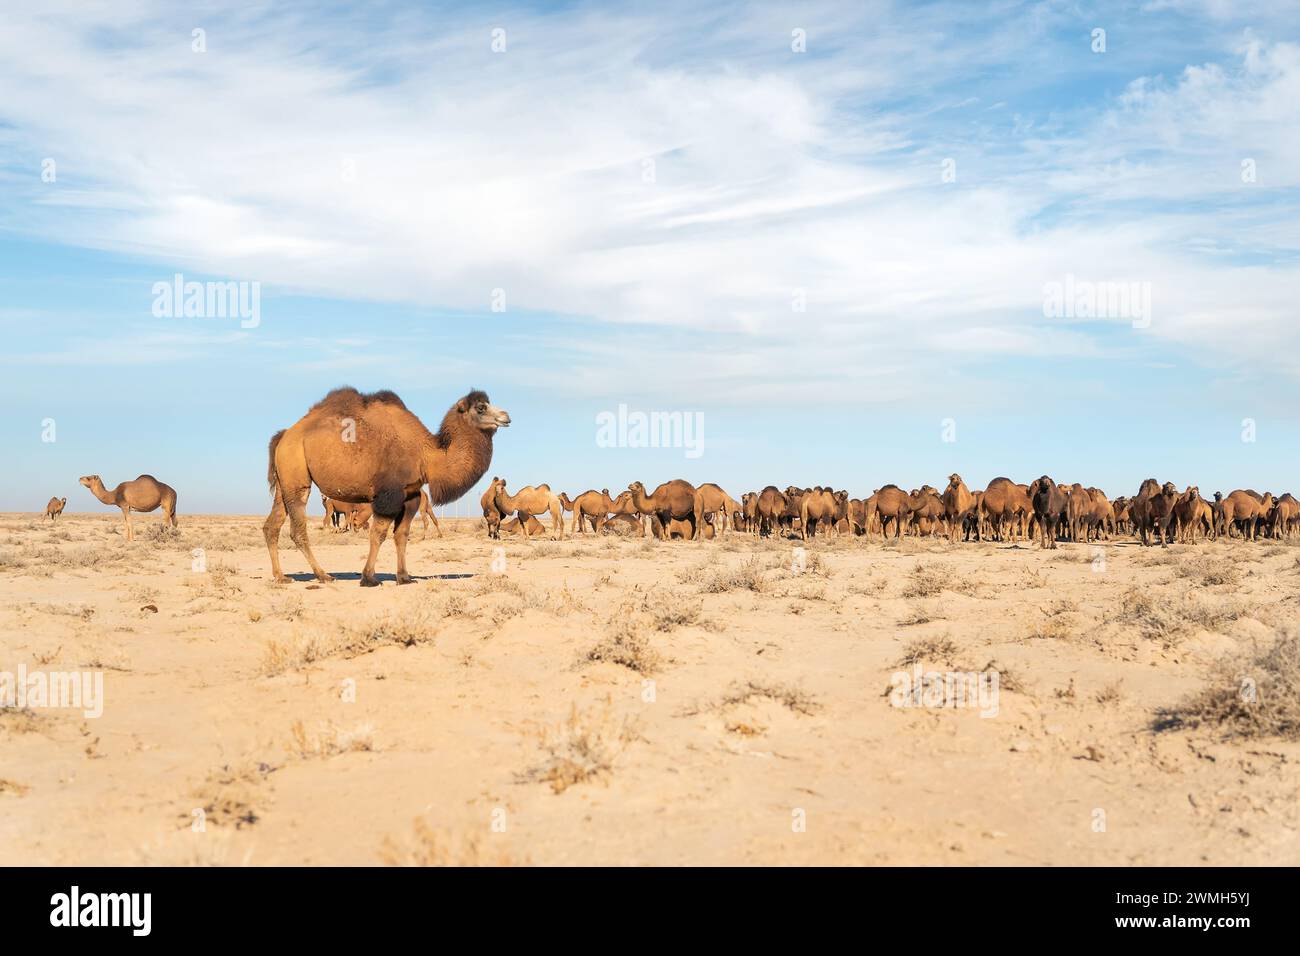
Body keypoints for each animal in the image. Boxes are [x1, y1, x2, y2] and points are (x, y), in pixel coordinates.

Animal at [264, 388, 509, 586]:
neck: (427, 454)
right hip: (297, 474)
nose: (506, 417)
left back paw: (281, 576)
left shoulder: (410, 496)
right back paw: (323, 575)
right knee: (297, 528)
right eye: (481, 407)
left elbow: (402, 534)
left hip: (284, 481)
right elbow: (378, 533)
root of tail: (284, 435)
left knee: (272, 525)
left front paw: (404, 577)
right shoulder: (388, 494)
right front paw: (369, 578)